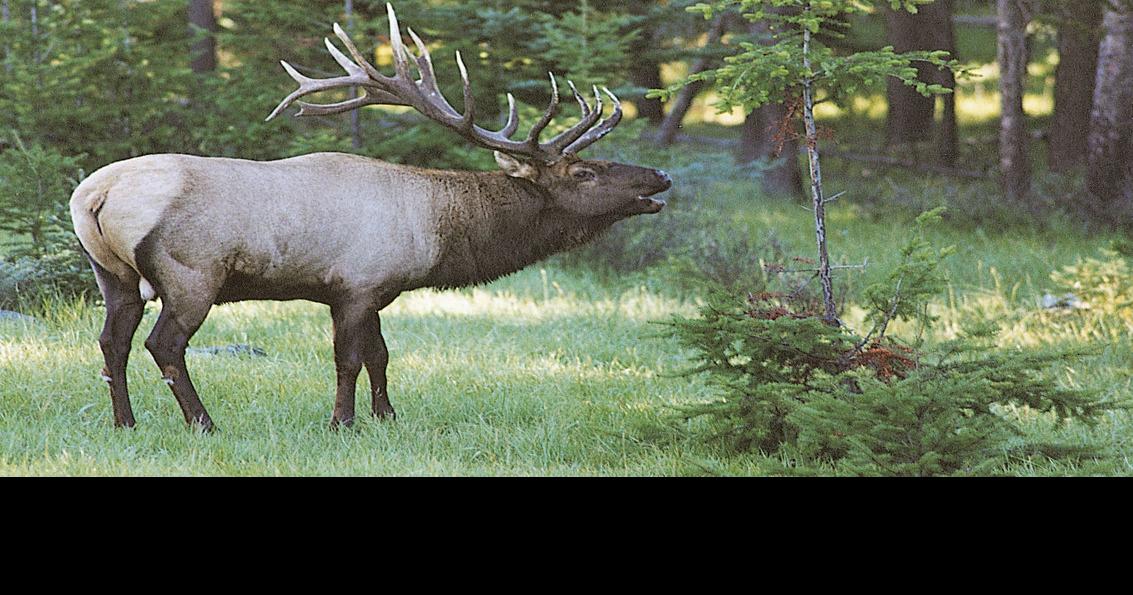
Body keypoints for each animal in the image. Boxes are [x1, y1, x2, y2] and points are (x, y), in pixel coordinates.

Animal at [69, 3, 672, 432]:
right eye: (585, 172)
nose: (660, 177)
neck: (436, 230)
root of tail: (94, 194)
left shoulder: (379, 288)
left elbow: (381, 356)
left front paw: (388, 418)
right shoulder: (354, 285)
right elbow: (349, 361)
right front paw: (342, 423)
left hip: (111, 274)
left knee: (112, 342)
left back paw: (125, 423)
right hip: (191, 274)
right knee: (164, 345)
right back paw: (204, 423)